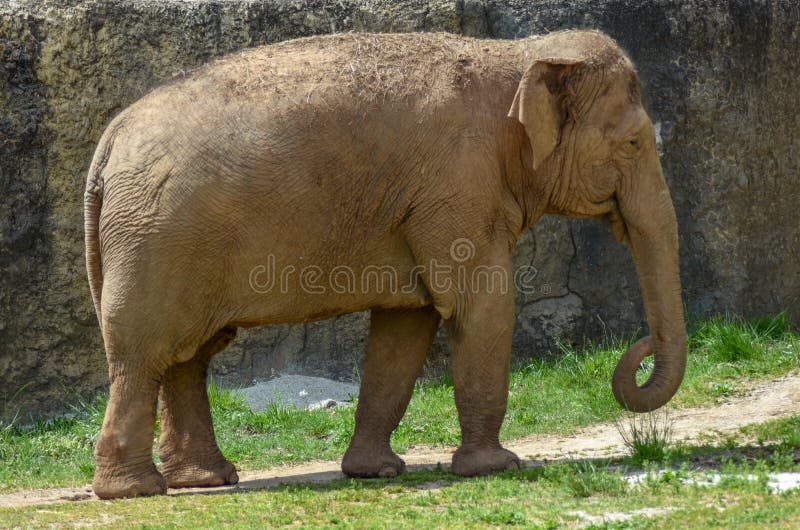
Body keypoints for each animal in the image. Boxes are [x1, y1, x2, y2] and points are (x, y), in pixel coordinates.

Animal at [84, 30, 686, 499]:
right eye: (635, 142)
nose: (638, 348)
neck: (519, 55)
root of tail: (109, 140)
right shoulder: (458, 184)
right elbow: (482, 306)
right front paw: (496, 467)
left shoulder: (426, 202)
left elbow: (406, 327)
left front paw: (376, 472)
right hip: (158, 240)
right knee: (144, 355)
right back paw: (135, 490)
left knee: (188, 356)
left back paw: (206, 480)